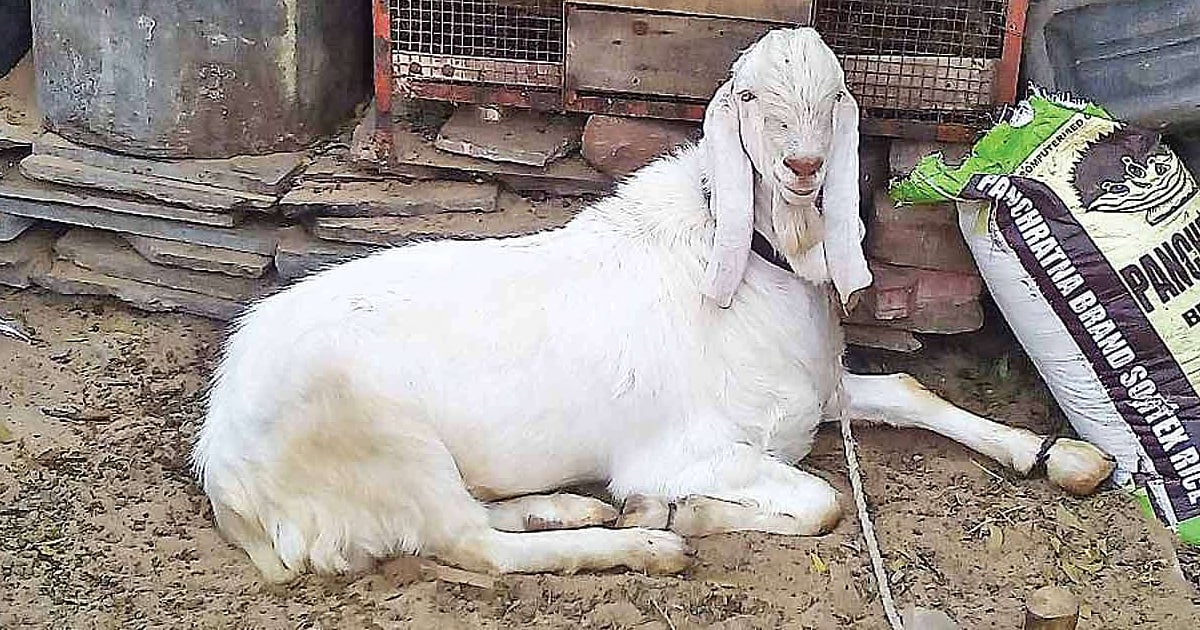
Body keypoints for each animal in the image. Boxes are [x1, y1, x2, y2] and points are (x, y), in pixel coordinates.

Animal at [193, 28, 1115, 583]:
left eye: (837, 97)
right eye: (748, 97)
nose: (806, 167)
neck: (751, 271)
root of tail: (224, 465)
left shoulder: (812, 393)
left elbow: (913, 392)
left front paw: (1062, 456)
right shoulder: (688, 446)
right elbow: (821, 502)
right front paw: (678, 511)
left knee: (479, 518)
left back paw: (565, 506)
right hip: (382, 439)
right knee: (472, 544)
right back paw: (644, 539)